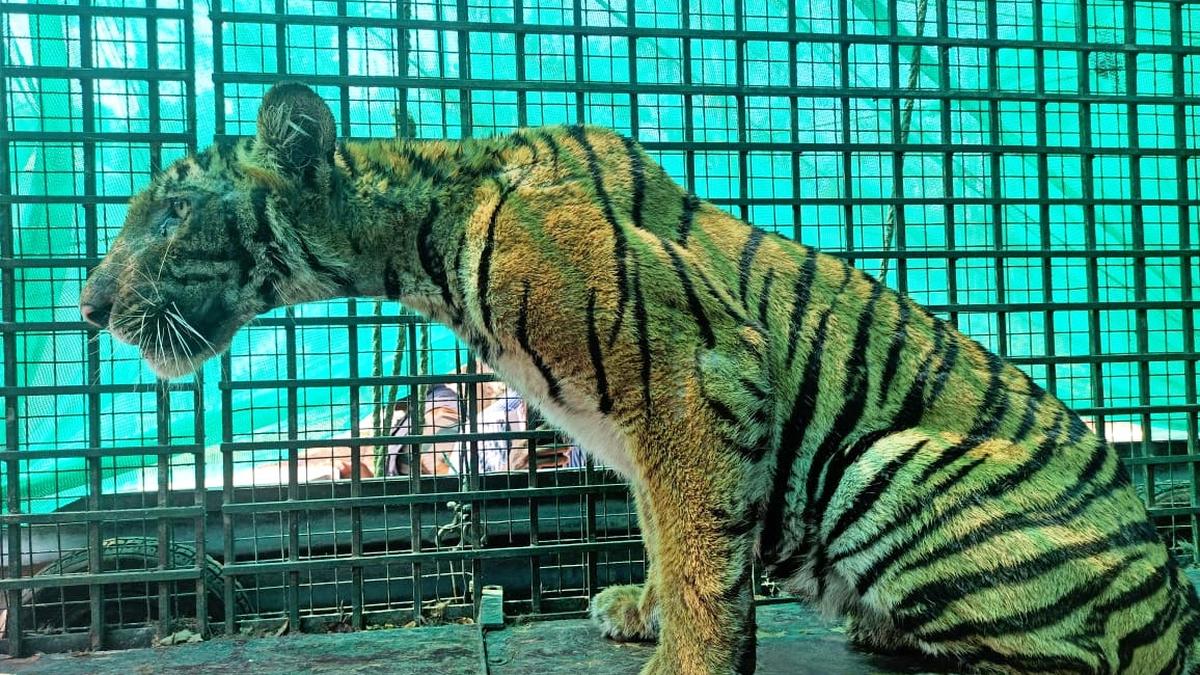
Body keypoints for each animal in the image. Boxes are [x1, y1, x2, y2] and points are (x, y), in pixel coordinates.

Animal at [78, 81, 1200, 674]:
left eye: (168, 215)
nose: (84, 306)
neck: (419, 240)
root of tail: (1175, 607)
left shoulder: (691, 375)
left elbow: (703, 544)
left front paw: (687, 659)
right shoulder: (637, 423)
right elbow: (669, 526)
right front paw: (642, 607)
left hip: (887, 463)